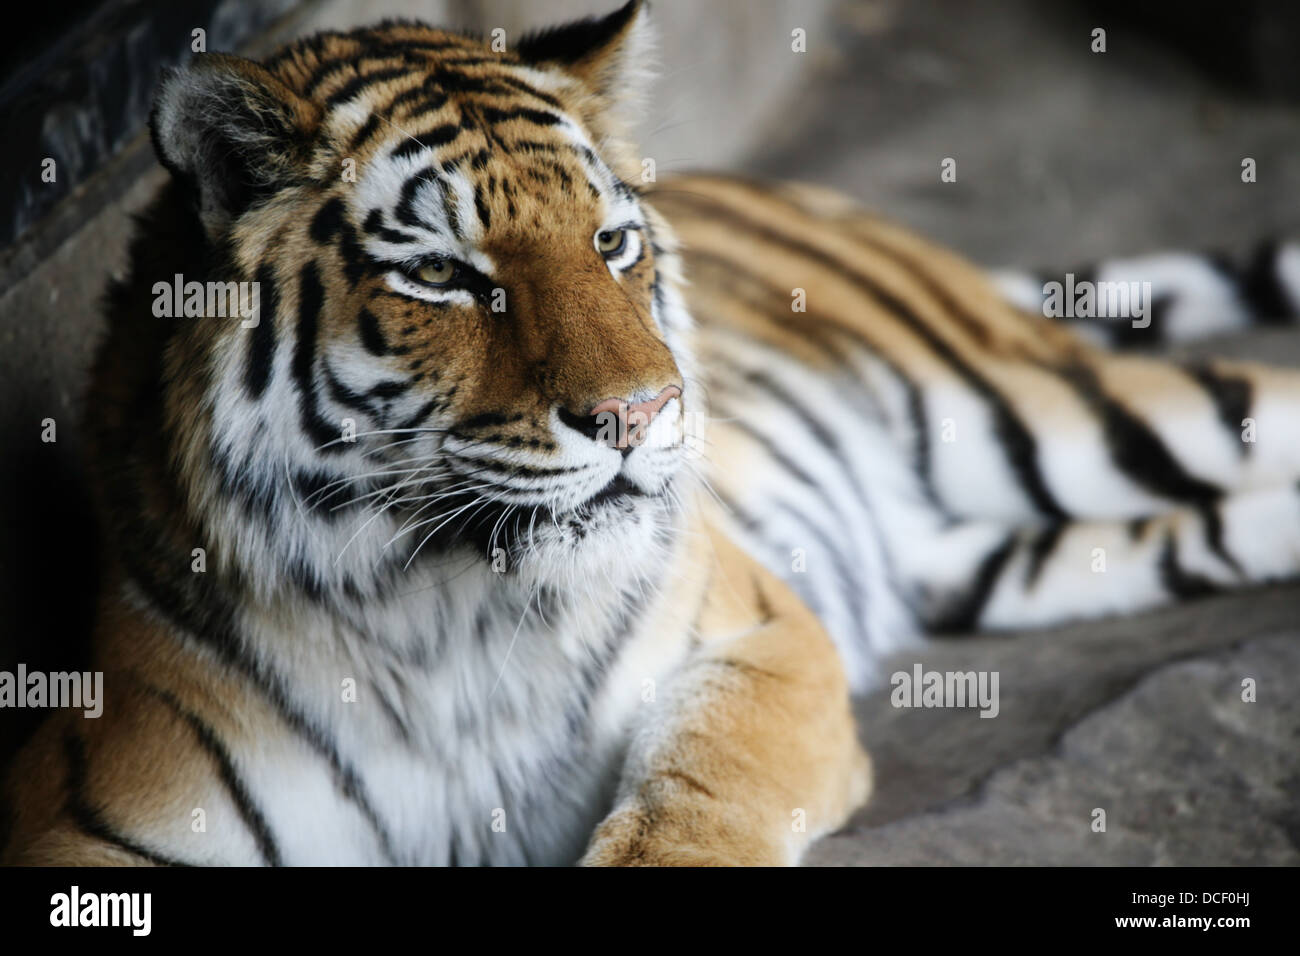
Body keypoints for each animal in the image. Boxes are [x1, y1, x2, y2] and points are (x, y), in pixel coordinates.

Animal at [4, 0, 1300, 866]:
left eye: (611, 242)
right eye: (443, 274)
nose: (641, 413)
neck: (445, 609)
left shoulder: (764, 633)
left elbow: (696, 794)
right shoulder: (96, 816)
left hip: (1053, 411)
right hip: (999, 552)